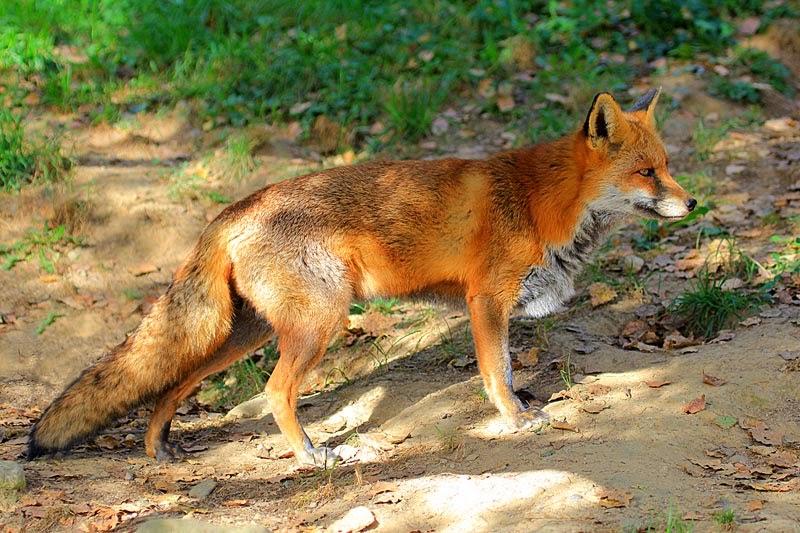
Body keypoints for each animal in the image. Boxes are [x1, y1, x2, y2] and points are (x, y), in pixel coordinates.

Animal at [28, 88, 695, 467]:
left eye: (668, 166)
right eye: (647, 173)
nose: (692, 204)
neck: (539, 203)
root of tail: (238, 206)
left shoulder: (493, 303)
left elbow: (505, 369)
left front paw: (522, 408)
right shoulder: (485, 300)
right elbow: (496, 373)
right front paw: (513, 420)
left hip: (247, 334)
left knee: (174, 381)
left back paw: (158, 447)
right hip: (319, 323)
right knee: (275, 392)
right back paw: (312, 456)